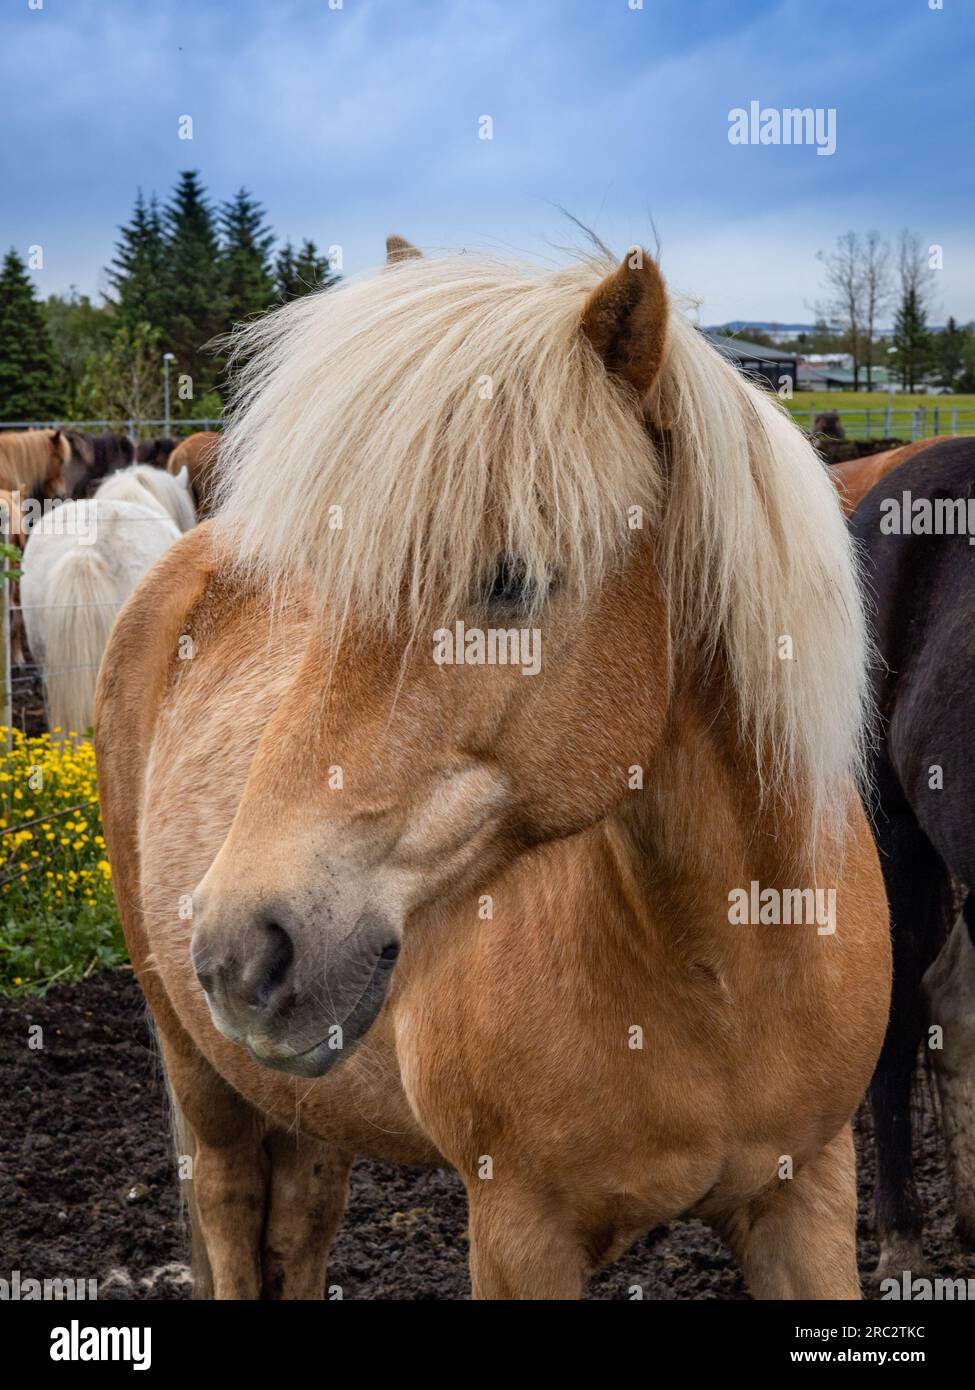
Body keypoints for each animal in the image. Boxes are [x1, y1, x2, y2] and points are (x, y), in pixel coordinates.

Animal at [95, 238, 890, 1300]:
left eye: (511, 579)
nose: (242, 946)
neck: (724, 970)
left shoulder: (806, 1198)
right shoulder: (518, 1232)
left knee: (298, 1225)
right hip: (203, 1079)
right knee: (230, 1214)